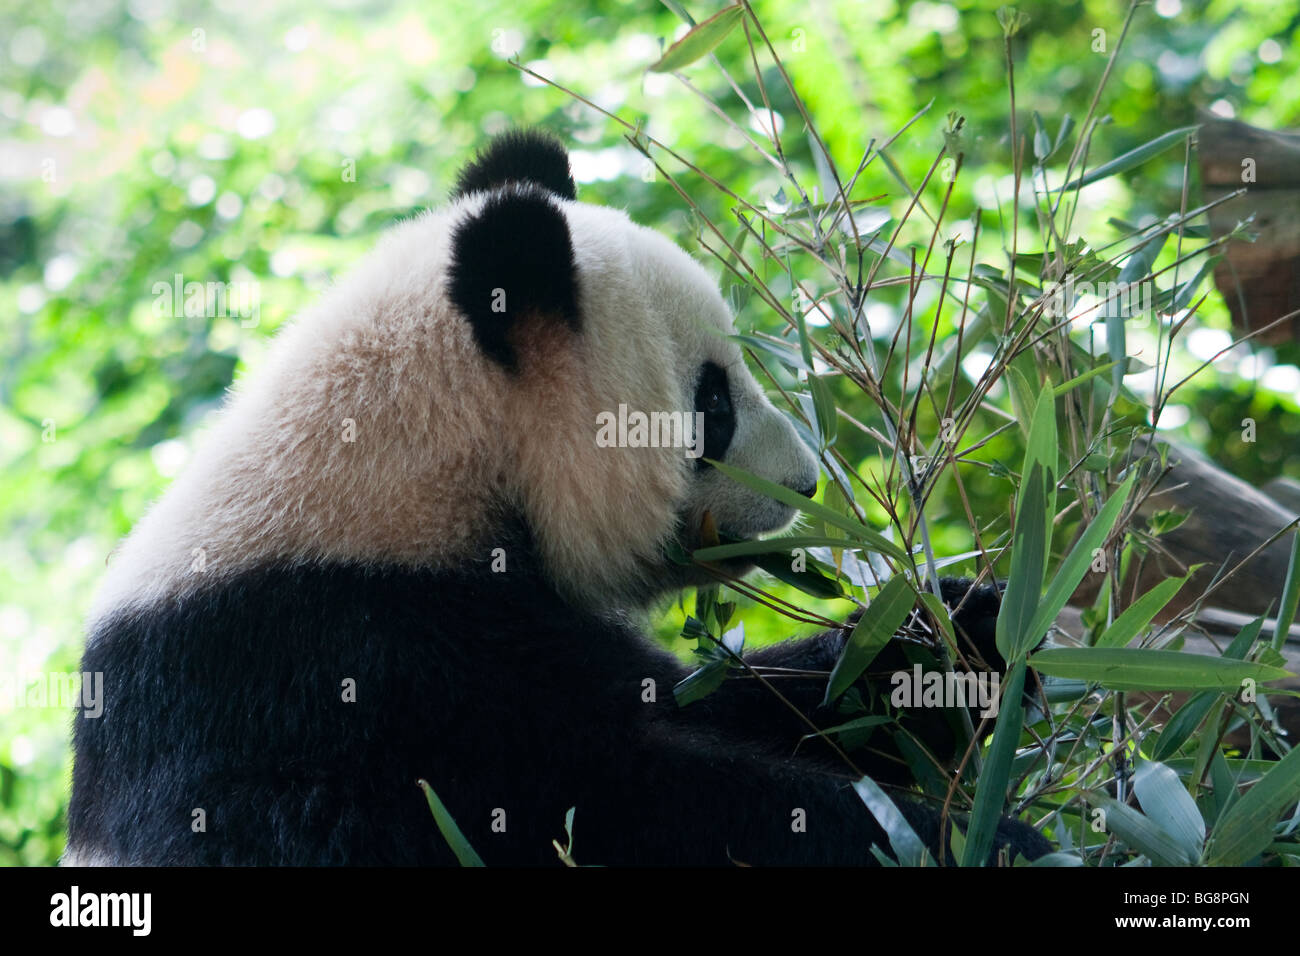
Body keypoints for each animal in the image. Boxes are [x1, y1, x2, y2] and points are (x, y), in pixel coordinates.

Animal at [66, 129, 1050, 866]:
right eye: (713, 406)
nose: (804, 483)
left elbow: (716, 701)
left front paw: (963, 636)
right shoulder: (328, 666)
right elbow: (612, 798)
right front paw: (980, 839)